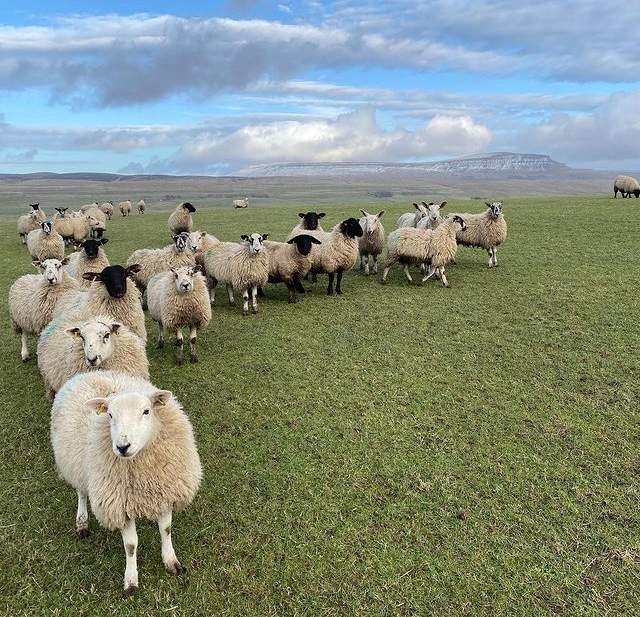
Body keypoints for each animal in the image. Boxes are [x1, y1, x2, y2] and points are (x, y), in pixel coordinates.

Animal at [50, 370, 202, 594]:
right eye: (110, 415)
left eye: (146, 411)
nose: (122, 447)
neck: (144, 475)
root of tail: (90, 372)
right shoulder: (120, 505)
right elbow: (131, 545)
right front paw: (131, 580)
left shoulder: (165, 492)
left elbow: (166, 530)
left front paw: (171, 561)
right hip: (75, 463)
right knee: (82, 493)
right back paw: (82, 521)